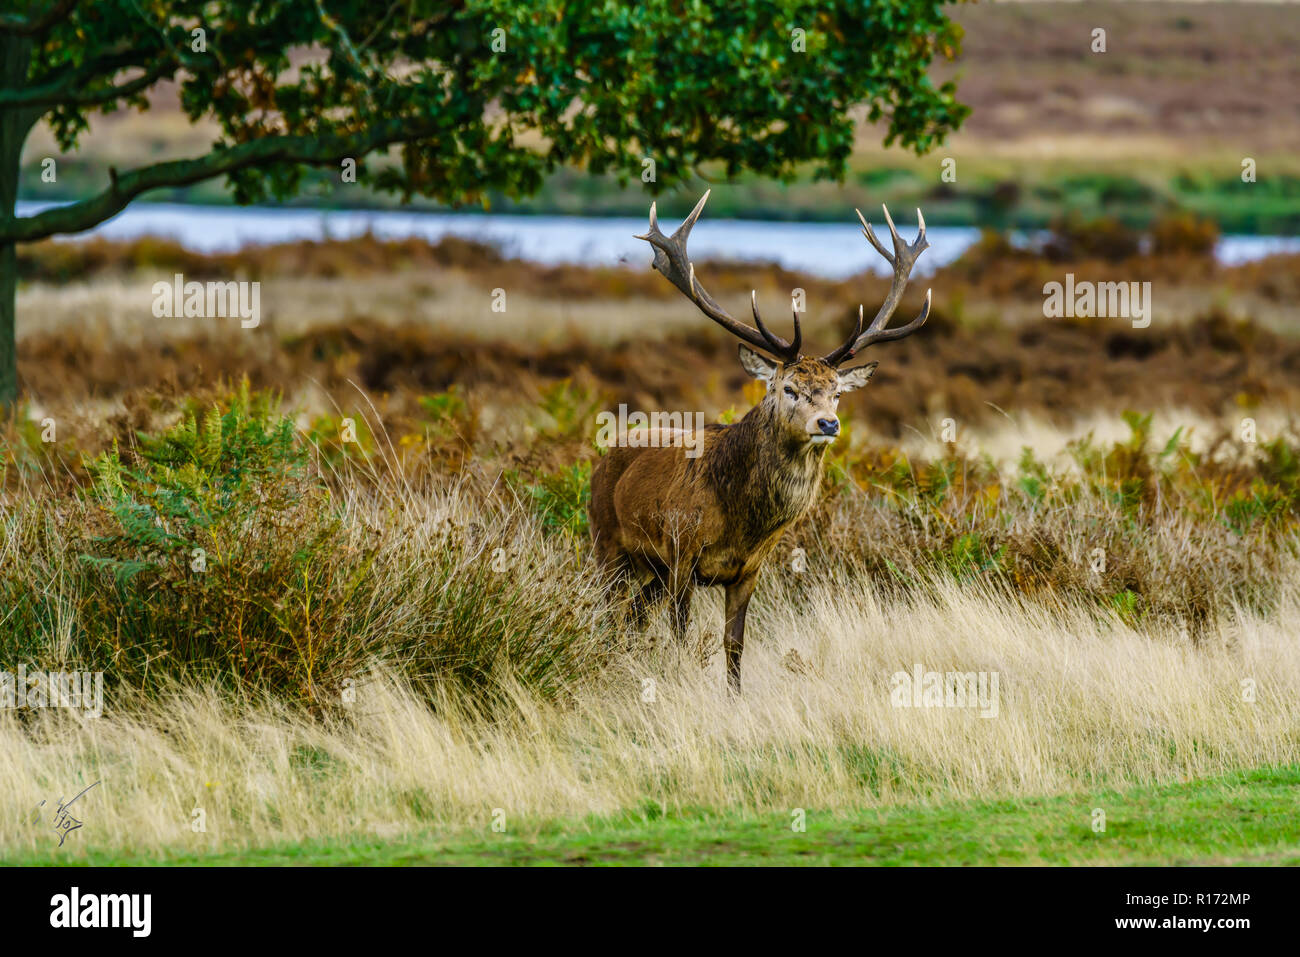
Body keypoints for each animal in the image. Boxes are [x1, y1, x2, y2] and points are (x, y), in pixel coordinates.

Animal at [588, 190, 932, 693]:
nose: (828, 423)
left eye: (837, 392)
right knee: (608, 611)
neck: (741, 521)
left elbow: (735, 646)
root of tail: (601, 459)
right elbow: (681, 638)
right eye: (788, 388)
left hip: (647, 570)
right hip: (607, 543)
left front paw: (734, 698)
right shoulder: (681, 553)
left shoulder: (749, 570)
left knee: (632, 614)